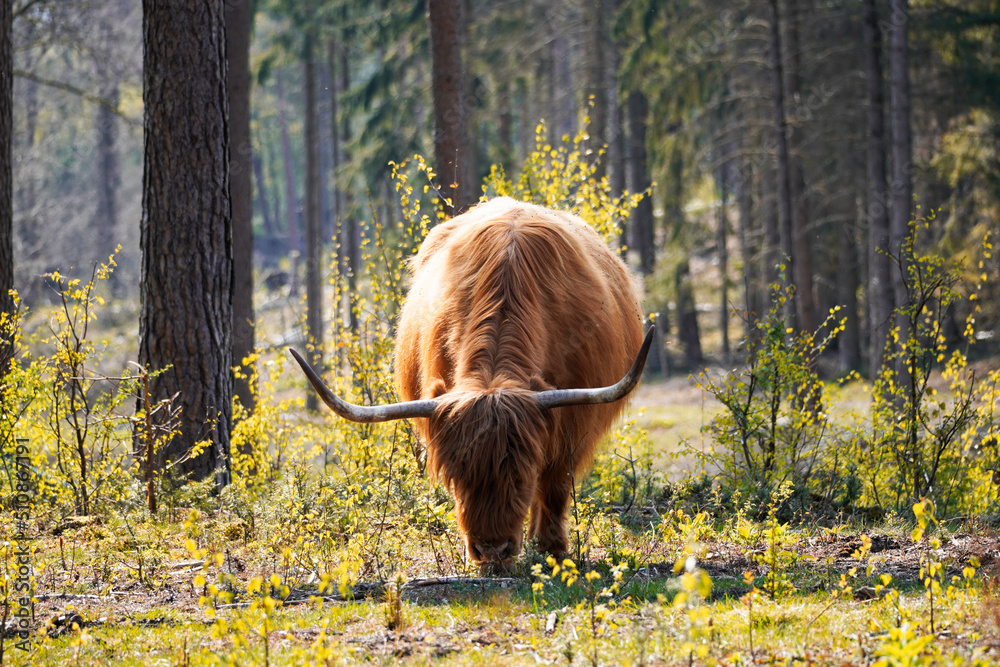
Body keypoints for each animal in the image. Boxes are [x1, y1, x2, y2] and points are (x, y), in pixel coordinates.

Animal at [290, 197, 651, 571]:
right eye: (457, 477)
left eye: (520, 475)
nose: (492, 550)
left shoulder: (573, 427)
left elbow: (554, 486)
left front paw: (552, 551)